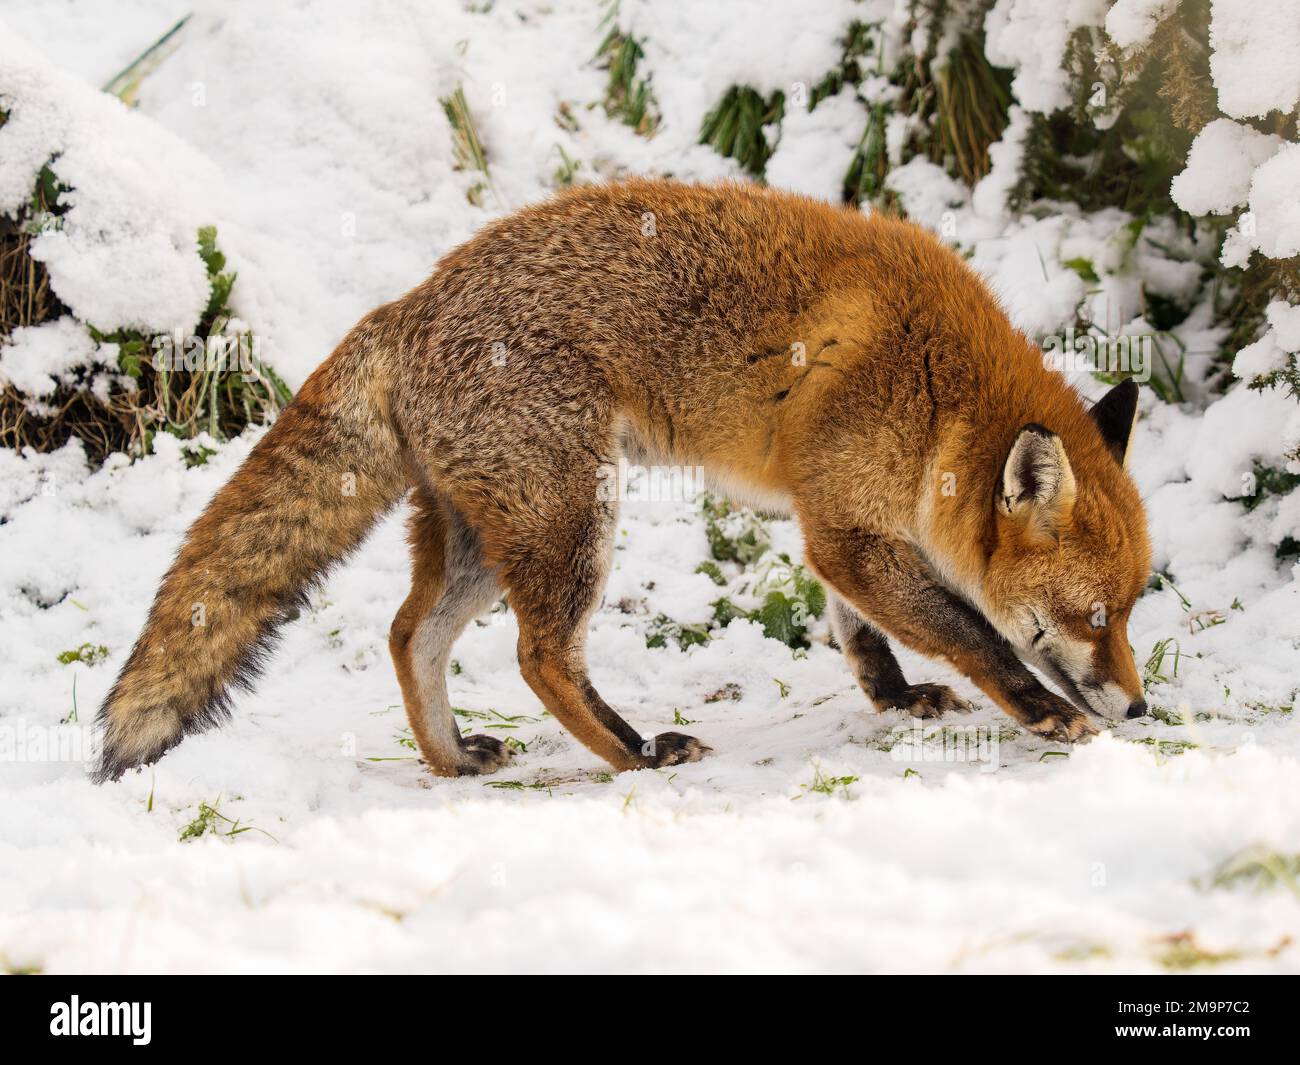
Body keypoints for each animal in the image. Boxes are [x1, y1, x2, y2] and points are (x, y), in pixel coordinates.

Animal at [93, 178, 1152, 783]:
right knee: (539, 658)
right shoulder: (847, 528)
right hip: (573, 522)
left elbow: (859, 626)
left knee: (407, 633)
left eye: (1137, 608)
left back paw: (451, 758)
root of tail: (407, 305)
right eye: (1097, 616)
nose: (1142, 708)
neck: (939, 395)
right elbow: (973, 634)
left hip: (488, 539)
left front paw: (894, 697)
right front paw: (1047, 712)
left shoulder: (840, 523)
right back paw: (636, 752)